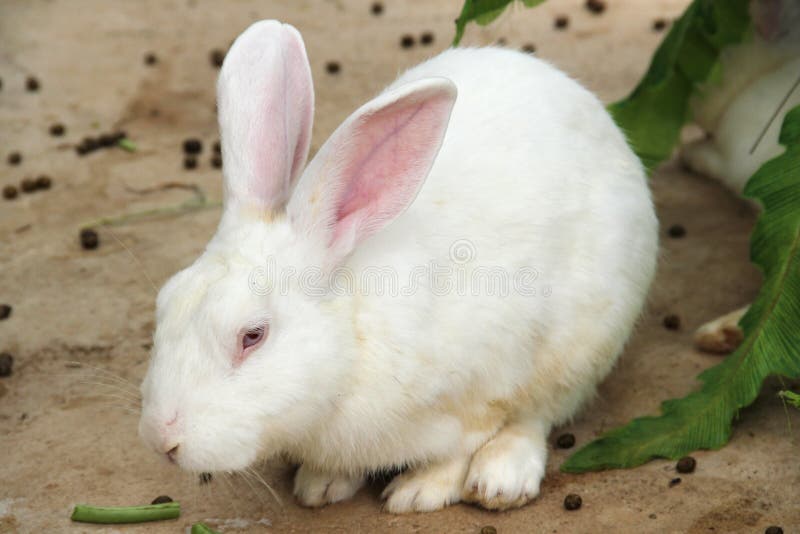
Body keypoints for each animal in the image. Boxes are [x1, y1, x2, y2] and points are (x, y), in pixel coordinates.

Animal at [137, 20, 658, 513]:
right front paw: (320, 484)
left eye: (253, 336)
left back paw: (500, 480)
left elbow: (460, 447)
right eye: (164, 304)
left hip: (584, 343)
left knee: (539, 413)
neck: (352, 344)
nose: (162, 440)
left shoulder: (480, 384)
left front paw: (419, 492)